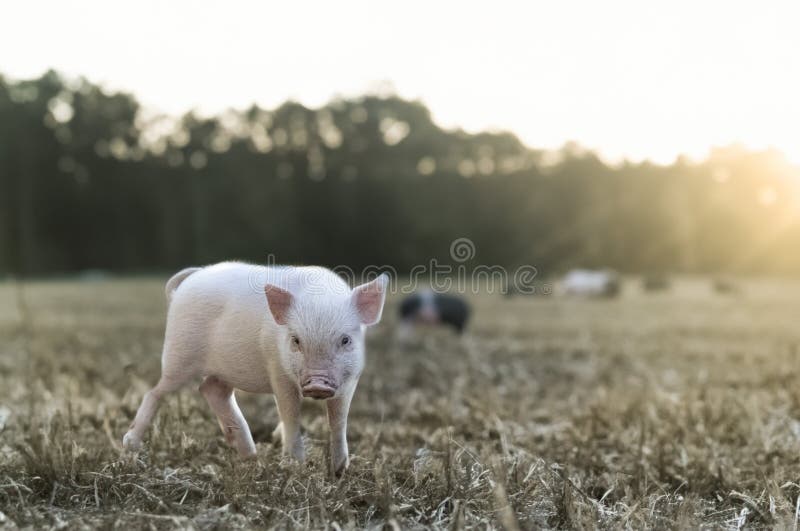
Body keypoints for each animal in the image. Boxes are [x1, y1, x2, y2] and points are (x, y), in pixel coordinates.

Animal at [122, 262, 388, 476]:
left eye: (345, 340)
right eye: (296, 340)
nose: (317, 383)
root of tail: (192, 278)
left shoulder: (349, 380)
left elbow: (339, 421)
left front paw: (340, 471)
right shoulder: (278, 371)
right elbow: (291, 415)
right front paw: (297, 467)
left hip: (217, 371)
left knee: (211, 389)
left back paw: (250, 456)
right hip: (178, 356)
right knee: (156, 392)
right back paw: (130, 445)